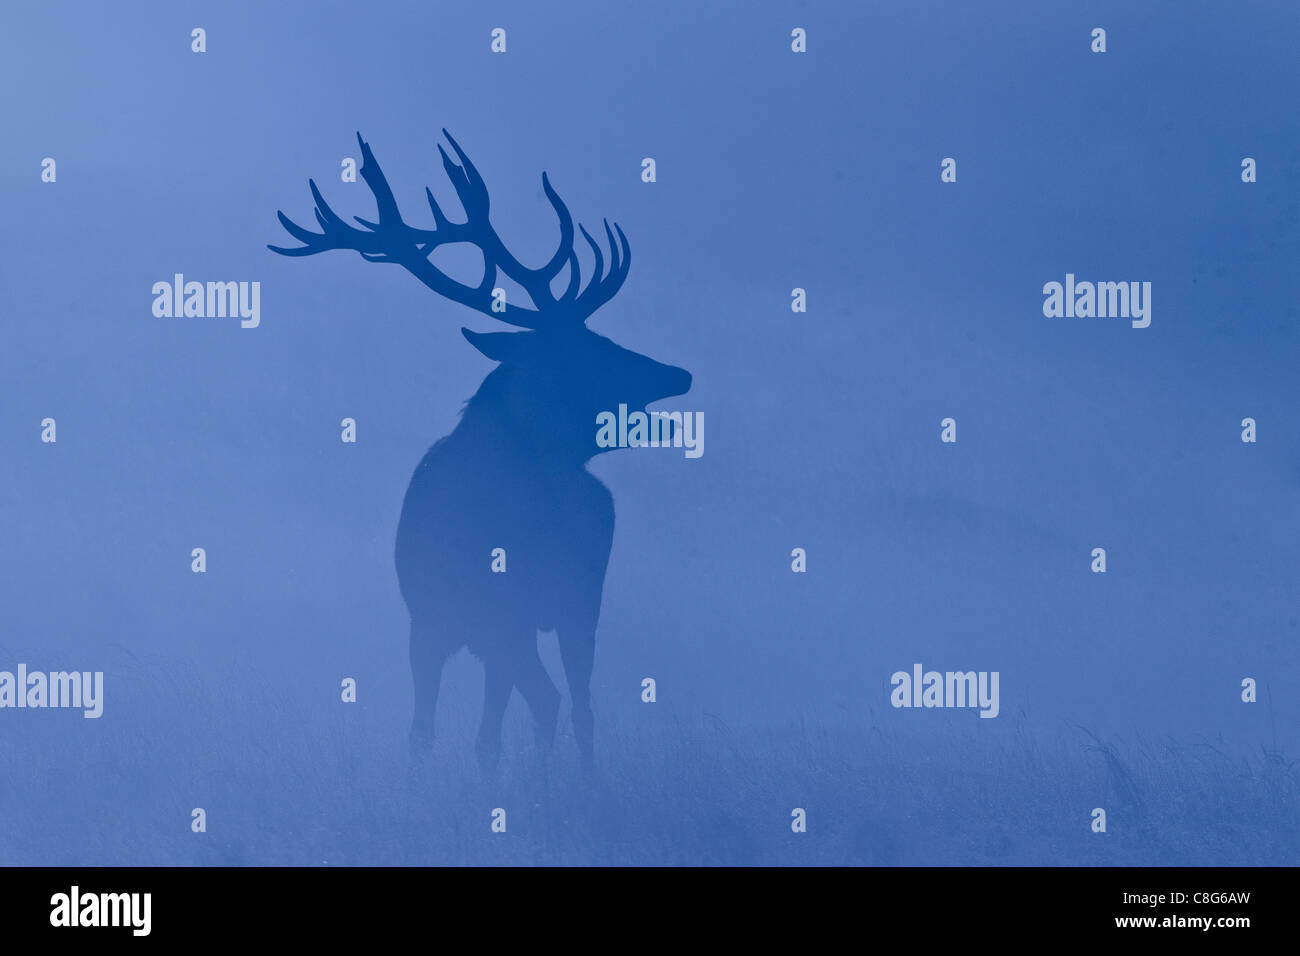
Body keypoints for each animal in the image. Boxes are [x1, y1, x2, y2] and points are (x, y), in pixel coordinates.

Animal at [269, 131, 691, 772]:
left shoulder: (490, 620)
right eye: (587, 351)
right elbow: (432, 730)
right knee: (556, 703)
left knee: (570, 703)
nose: (678, 374)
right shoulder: (432, 621)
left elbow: (490, 722)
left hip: (567, 604)